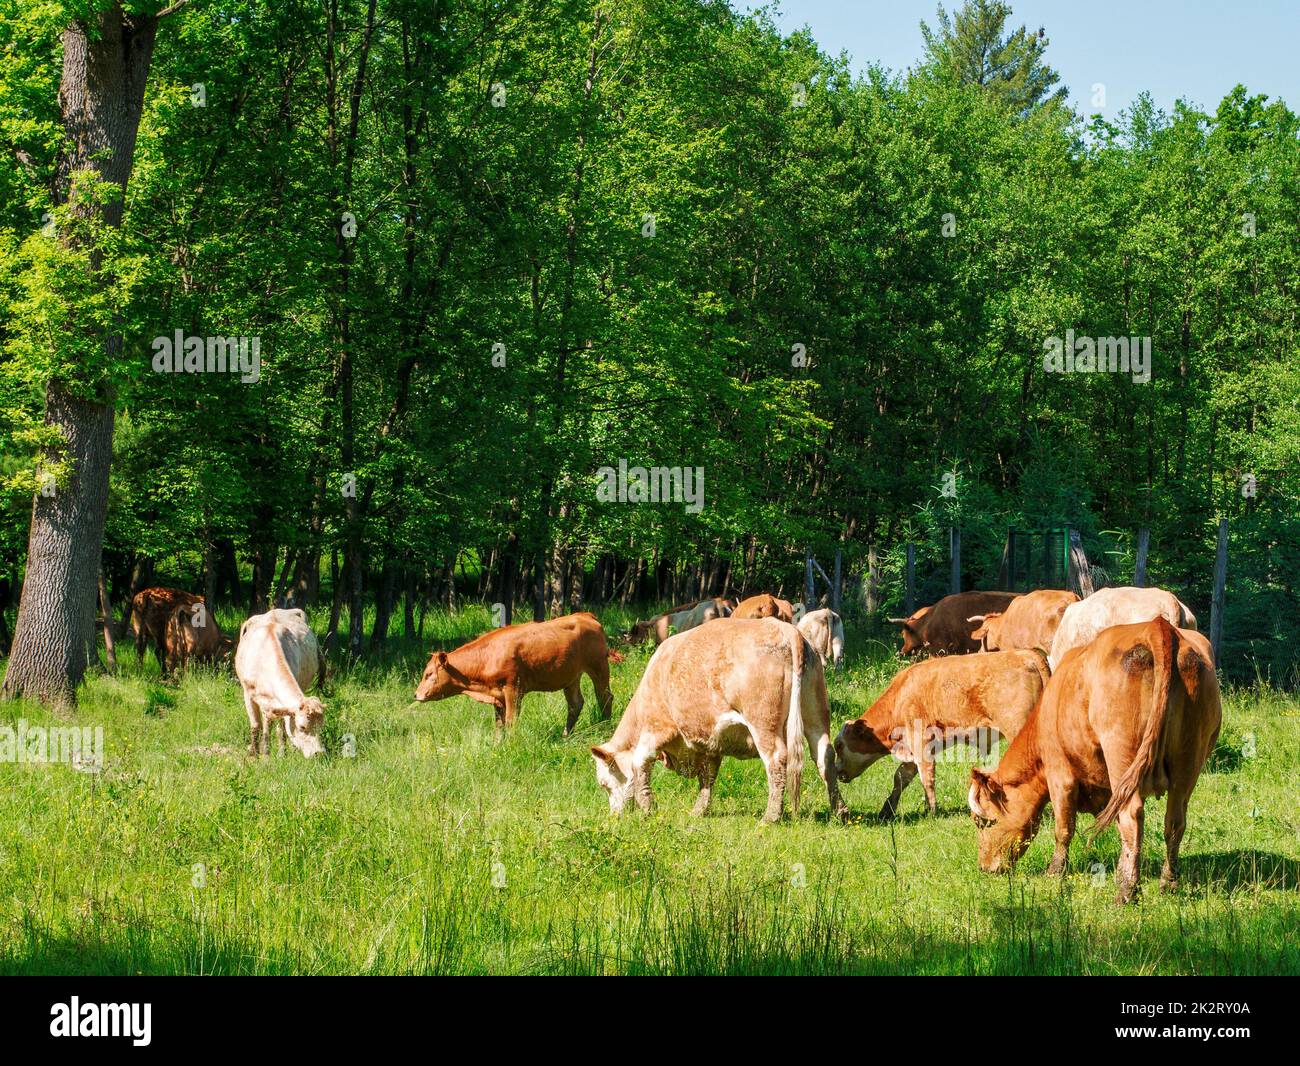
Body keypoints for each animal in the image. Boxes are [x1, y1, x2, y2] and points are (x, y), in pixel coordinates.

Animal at [234, 608, 327, 758]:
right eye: (302, 727)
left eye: (321, 726)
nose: (318, 753)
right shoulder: (248, 694)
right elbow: (256, 725)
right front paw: (255, 754)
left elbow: (281, 728)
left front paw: (280, 753)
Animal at [415, 612, 618, 736]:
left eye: (429, 674)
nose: (416, 695)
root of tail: (584, 615)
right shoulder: (497, 696)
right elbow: (499, 724)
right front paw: (498, 745)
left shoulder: (513, 689)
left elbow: (511, 721)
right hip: (571, 677)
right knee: (575, 704)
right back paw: (566, 735)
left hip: (598, 667)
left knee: (605, 697)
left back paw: (605, 726)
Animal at [591, 618, 845, 823]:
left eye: (605, 784)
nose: (614, 816)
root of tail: (785, 629)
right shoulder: (711, 741)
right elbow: (708, 776)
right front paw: (699, 810)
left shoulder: (657, 729)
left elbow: (640, 765)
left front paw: (647, 808)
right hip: (815, 714)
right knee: (824, 754)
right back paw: (839, 811)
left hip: (763, 723)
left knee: (776, 760)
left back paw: (770, 816)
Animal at [835, 650, 1049, 818]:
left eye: (839, 746)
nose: (836, 772)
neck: (900, 697)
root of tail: (1025, 654)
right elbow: (901, 777)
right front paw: (887, 810)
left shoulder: (920, 741)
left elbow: (927, 778)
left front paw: (931, 812)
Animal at [968, 618, 1220, 903]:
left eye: (982, 821)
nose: (984, 867)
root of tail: (1158, 627)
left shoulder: (1060, 773)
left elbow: (1063, 827)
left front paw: (1055, 872)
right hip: (1188, 764)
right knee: (1174, 821)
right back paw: (1168, 883)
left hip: (1120, 754)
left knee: (1132, 816)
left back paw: (1126, 891)